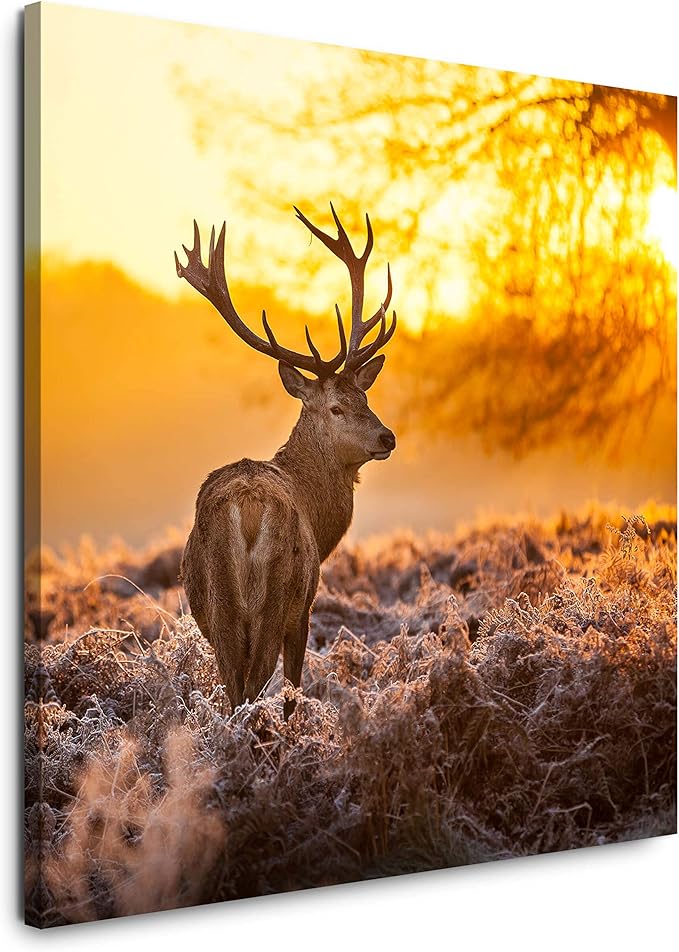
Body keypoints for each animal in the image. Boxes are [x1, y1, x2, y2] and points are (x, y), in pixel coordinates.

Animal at [174, 204, 396, 719]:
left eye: (365, 396)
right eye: (336, 407)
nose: (387, 436)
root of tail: (248, 510)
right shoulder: (306, 606)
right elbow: (294, 687)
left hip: (219, 604)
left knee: (234, 690)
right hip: (275, 598)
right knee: (255, 687)